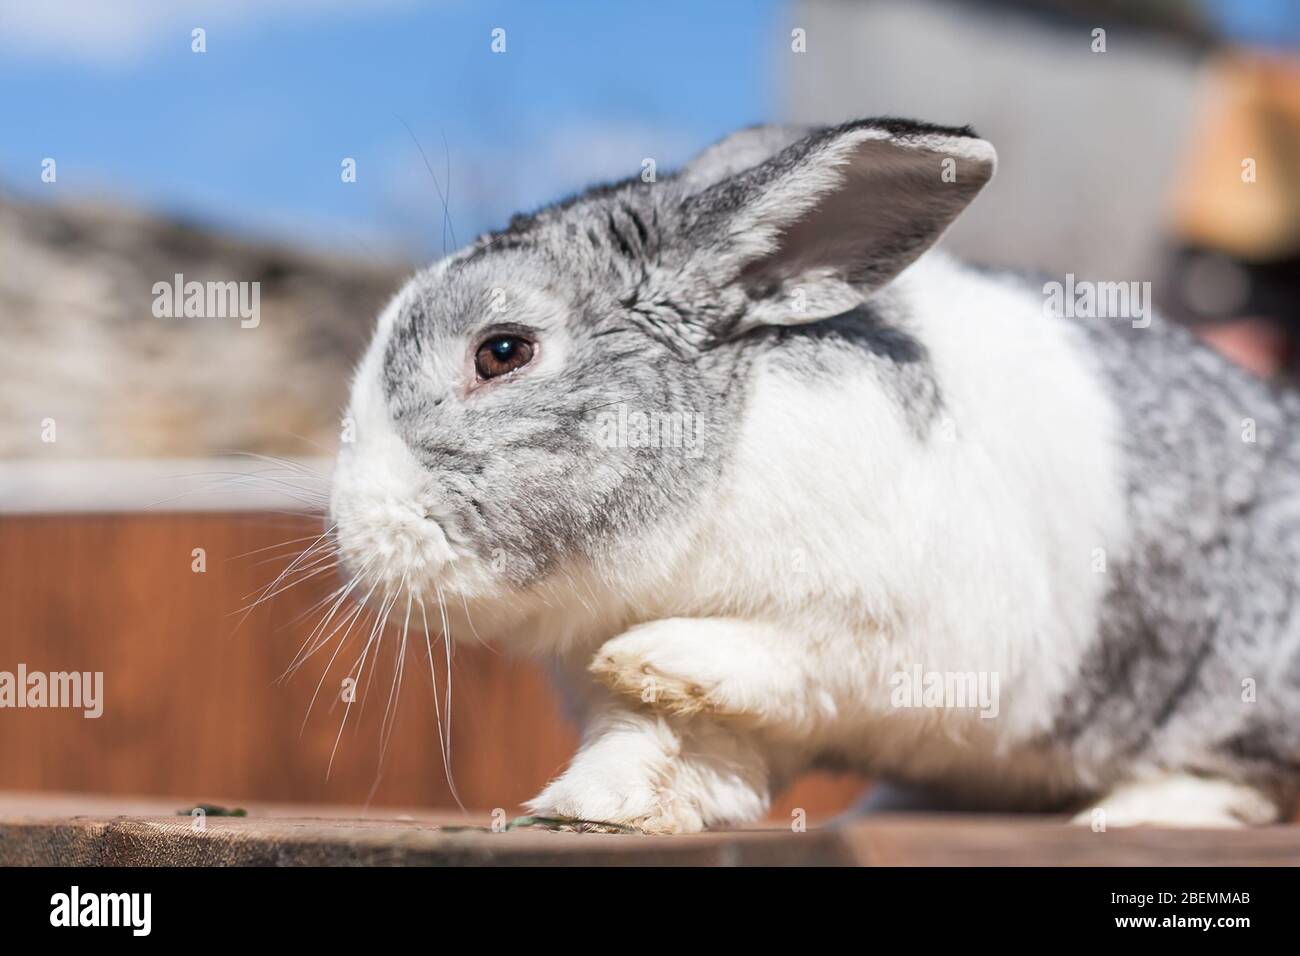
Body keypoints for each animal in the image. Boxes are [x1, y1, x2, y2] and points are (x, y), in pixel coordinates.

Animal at [328, 118, 1300, 833]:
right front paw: (591, 804)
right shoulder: (717, 722)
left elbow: (798, 658)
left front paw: (647, 656)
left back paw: (1133, 811)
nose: (349, 531)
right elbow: (662, 741)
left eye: (502, 351)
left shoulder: (920, 632)